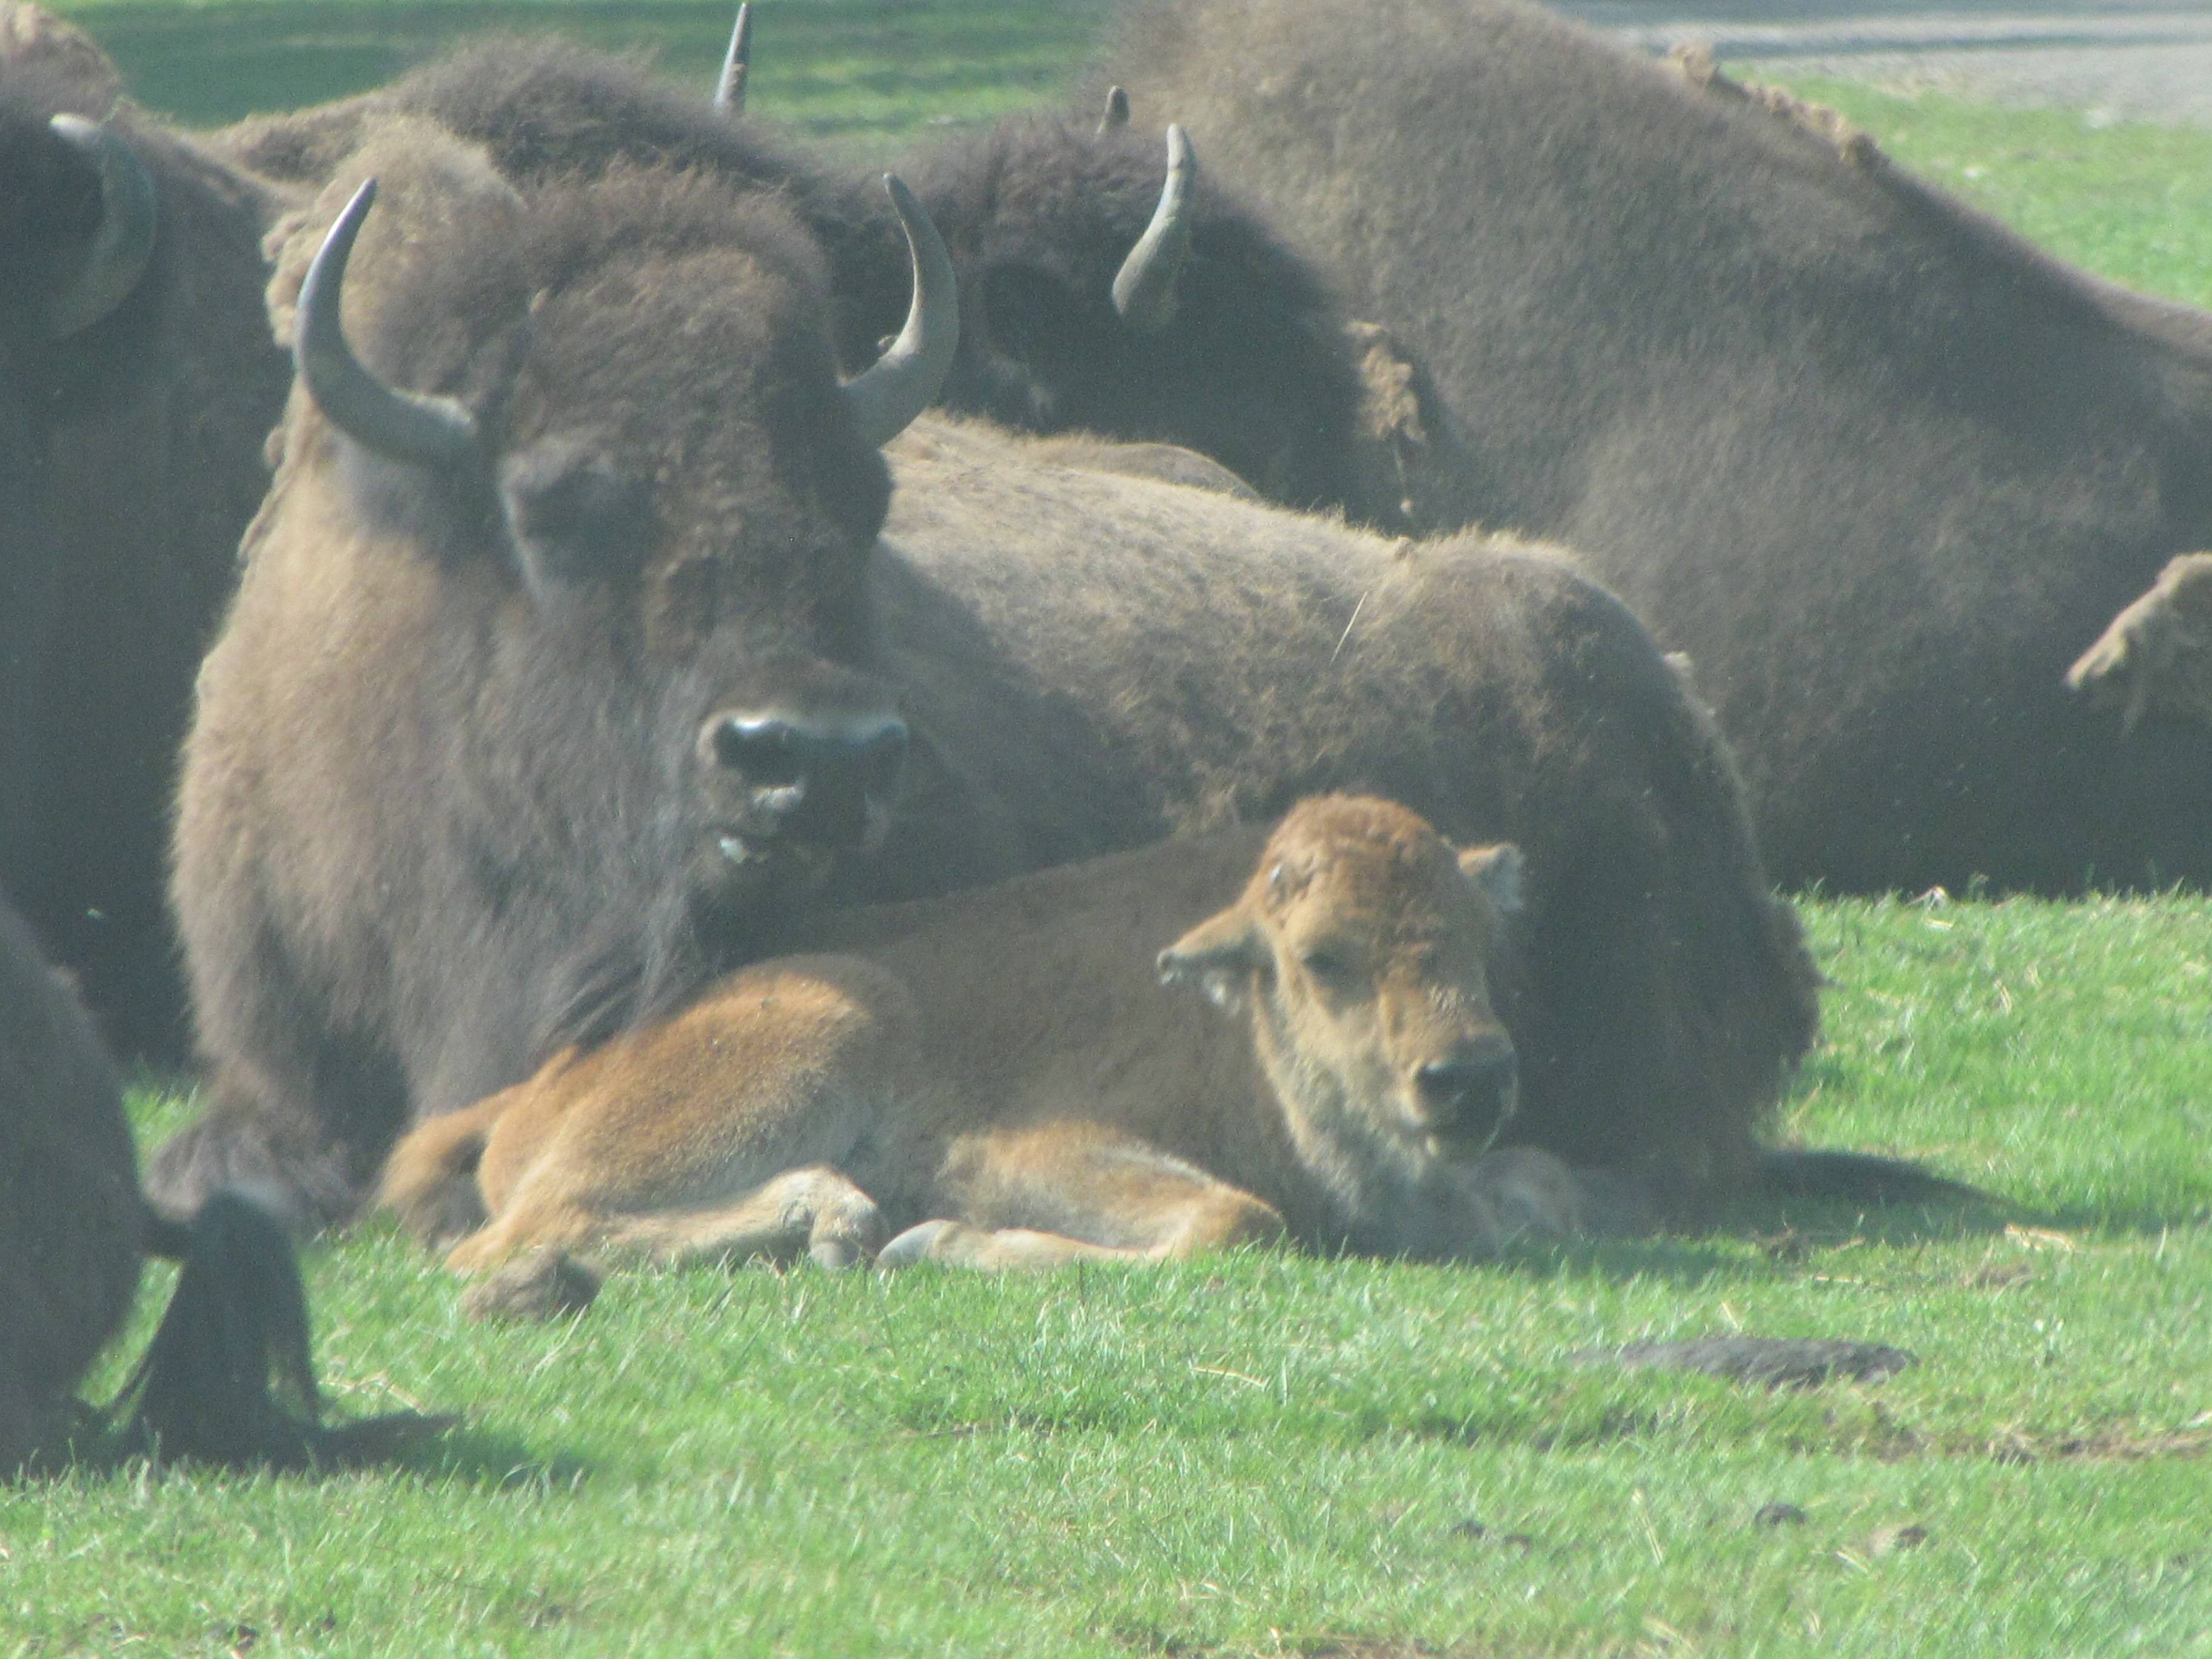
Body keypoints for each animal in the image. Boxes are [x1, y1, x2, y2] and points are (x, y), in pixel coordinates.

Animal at [378, 795, 1587, 1308]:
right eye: (1324, 956)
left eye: (1475, 937)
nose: (1469, 1079)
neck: (1232, 1015)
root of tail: (540, 1085)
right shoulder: (1026, 1150)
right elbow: (1239, 1221)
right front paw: (943, 1243)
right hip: (828, 1029)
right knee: (525, 1232)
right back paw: (847, 1225)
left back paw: (827, 1230)